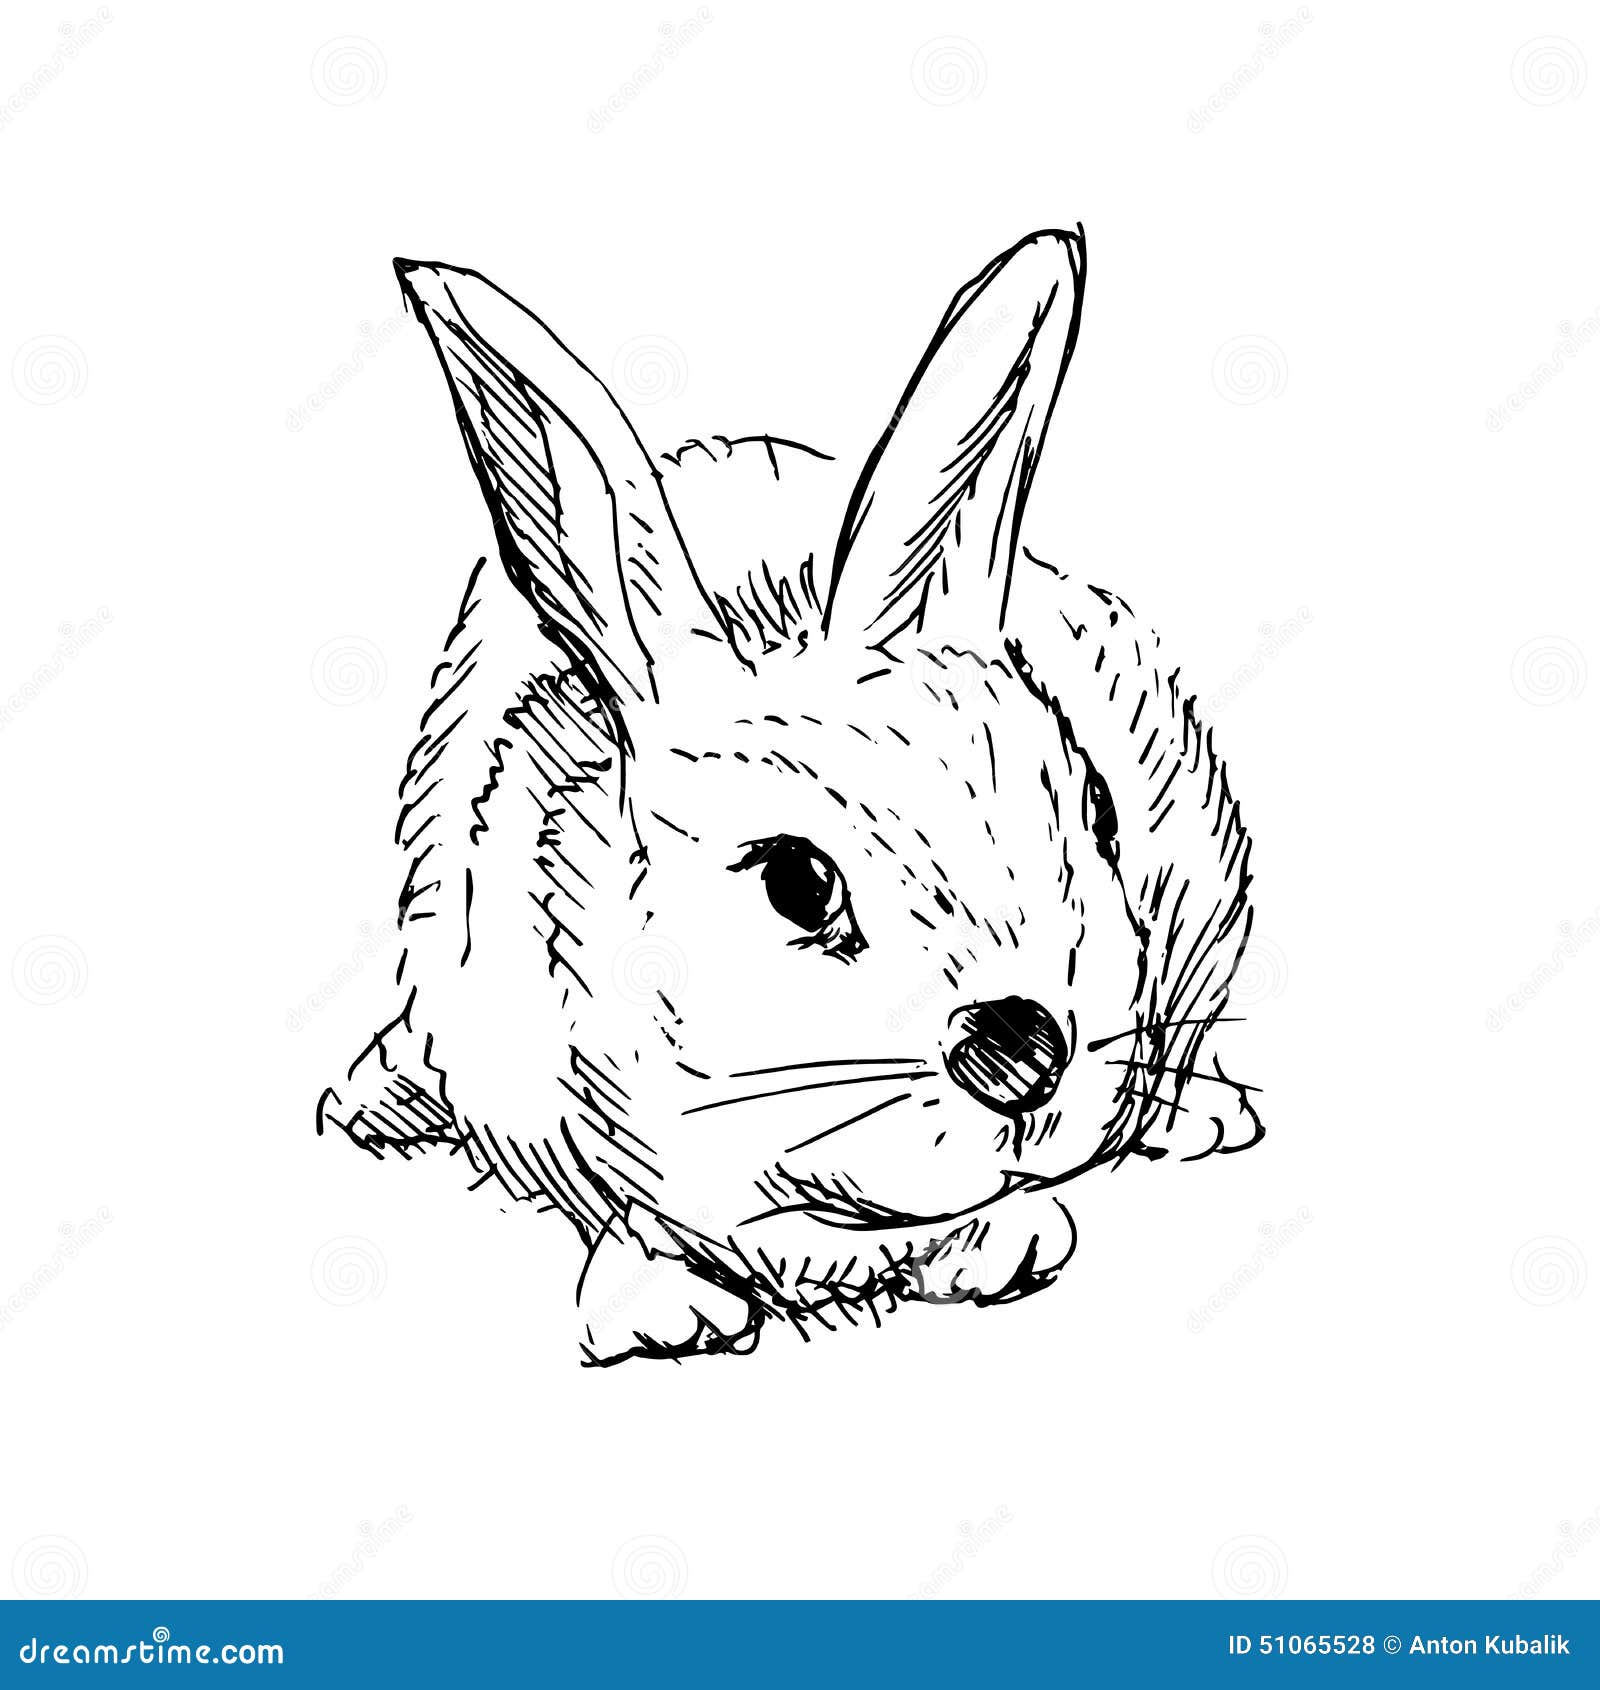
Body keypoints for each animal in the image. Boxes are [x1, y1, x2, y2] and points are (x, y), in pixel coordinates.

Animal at [316, 226, 1263, 1366]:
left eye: (1098, 811)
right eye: (797, 884)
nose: (1020, 1049)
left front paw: (1005, 1245)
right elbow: (619, 1214)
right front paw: (658, 1313)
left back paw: (1201, 1113)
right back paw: (367, 1099)